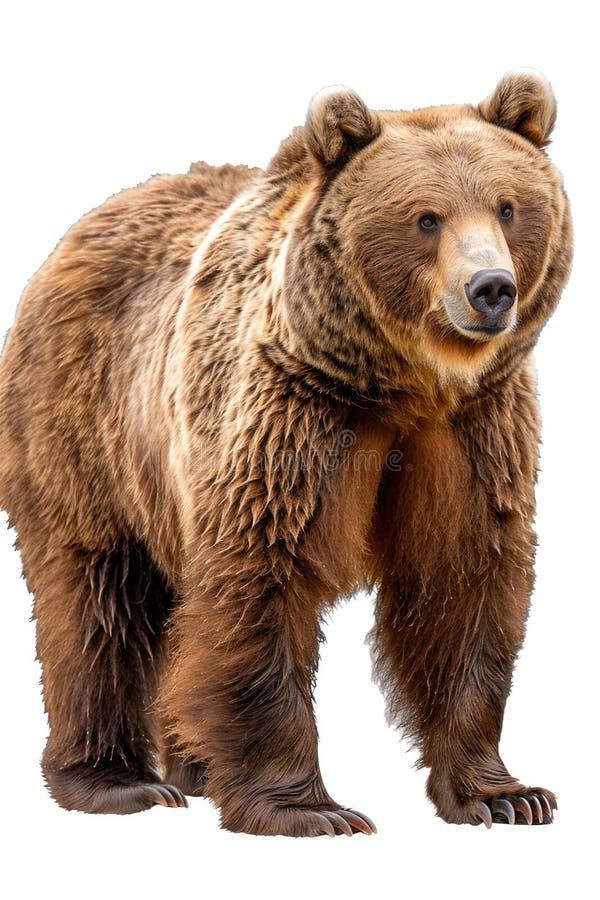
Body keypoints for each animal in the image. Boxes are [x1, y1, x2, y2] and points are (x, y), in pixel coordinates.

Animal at [0, 70, 572, 836]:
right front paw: (309, 809)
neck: (403, 383)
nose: (491, 290)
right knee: (97, 595)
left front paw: (506, 794)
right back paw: (119, 781)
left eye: (509, 207)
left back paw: (195, 767)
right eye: (426, 218)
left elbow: (464, 579)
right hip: (84, 429)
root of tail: (78, 229)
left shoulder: (474, 429)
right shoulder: (289, 411)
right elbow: (262, 568)